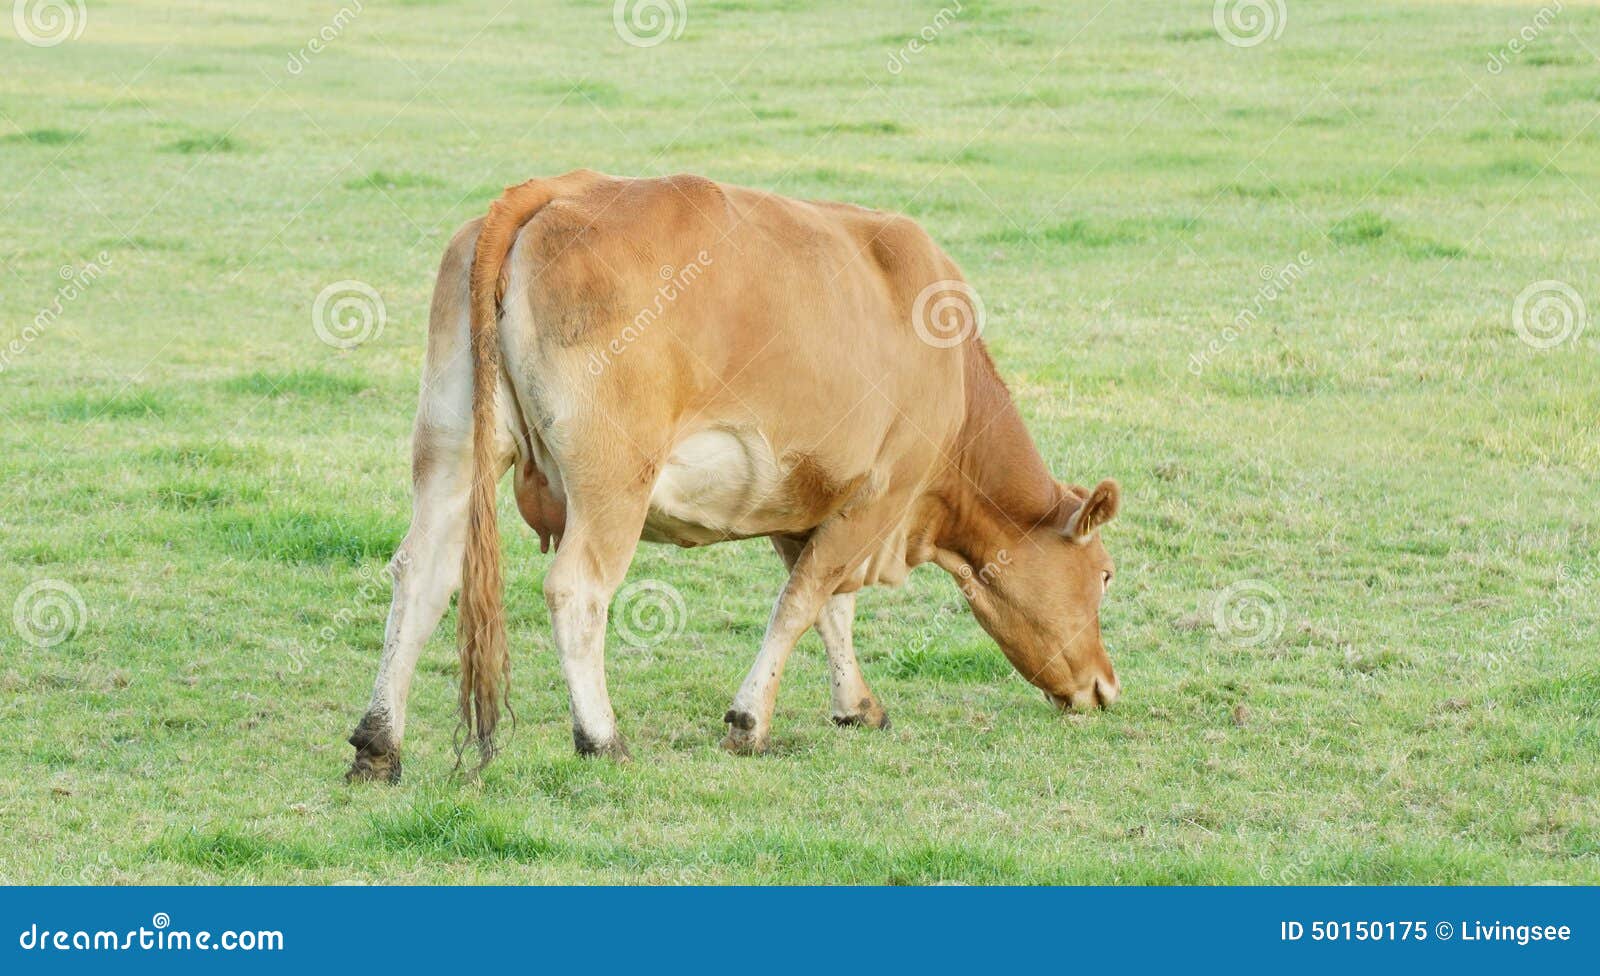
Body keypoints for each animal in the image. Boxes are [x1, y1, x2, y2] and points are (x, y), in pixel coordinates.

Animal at [346, 169, 1121, 782]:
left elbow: (829, 606)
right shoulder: (877, 495)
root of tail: (560, 188)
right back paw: (602, 739)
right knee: (577, 589)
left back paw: (379, 744)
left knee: (421, 575)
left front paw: (855, 705)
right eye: (1106, 575)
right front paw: (750, 722)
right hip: (612, 479)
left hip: (449, 445)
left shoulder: (805, 503)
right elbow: (802, 603)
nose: (1106, 687)